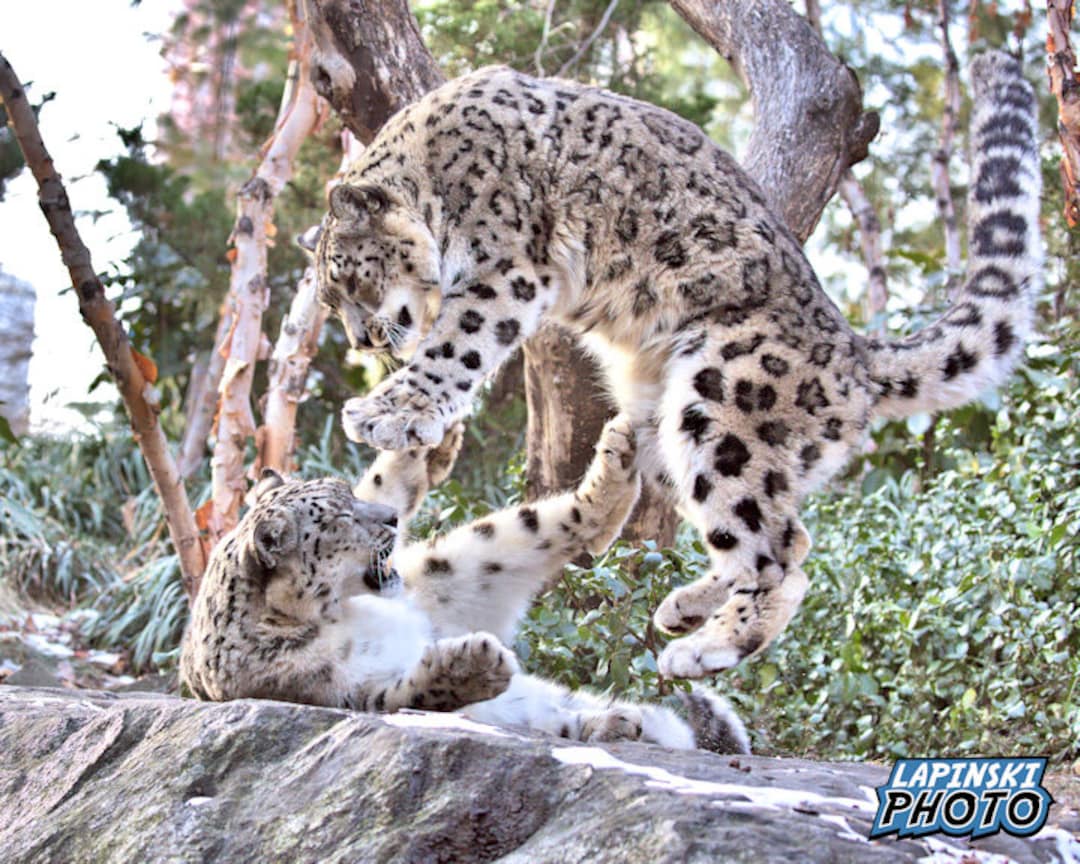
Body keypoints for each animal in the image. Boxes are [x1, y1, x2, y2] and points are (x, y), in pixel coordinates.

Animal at [180, 415, 750, 754]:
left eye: (347, 492)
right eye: (340, 519)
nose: (389, 520)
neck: (346, 612)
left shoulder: (434, 592)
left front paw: (419, 442)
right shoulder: (330, 695)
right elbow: (403, 693)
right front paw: (471, 662)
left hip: (438, 569)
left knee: (522, 529)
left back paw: (619, 454)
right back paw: (622, 721)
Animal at [312, 51, 1041, 679]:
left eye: (349, 279)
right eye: (329, 298)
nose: (363, 341)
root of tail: (853, 355)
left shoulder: (505, 270)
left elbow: (455, 345)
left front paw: (385, 412)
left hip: (720, 408)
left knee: (780, 554)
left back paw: (706, 648)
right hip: (662, 422)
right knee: (777, 531)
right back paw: (682, 608)